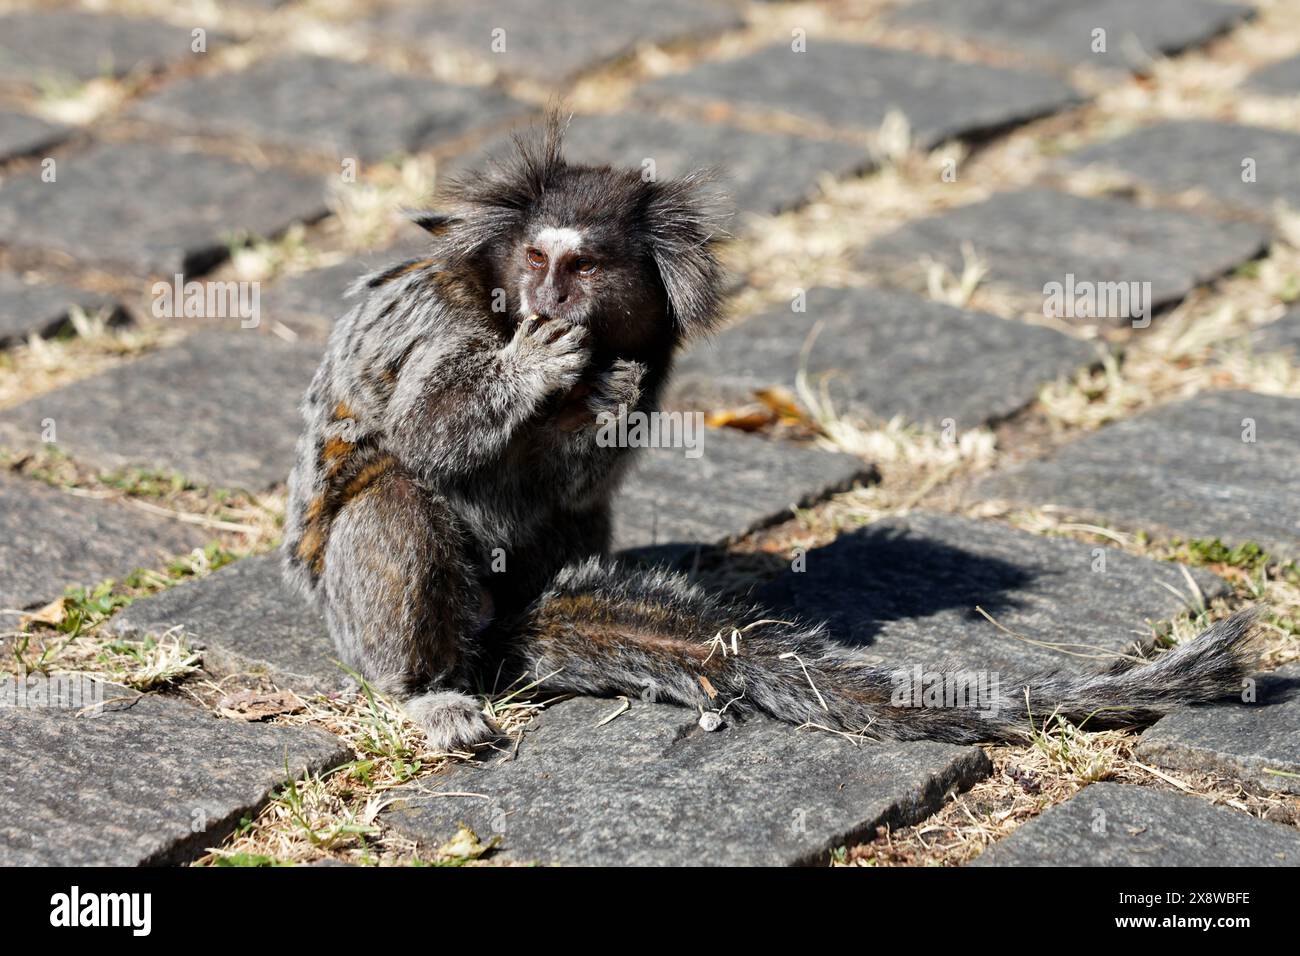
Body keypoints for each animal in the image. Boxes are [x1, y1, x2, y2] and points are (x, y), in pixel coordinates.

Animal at [283, 113, 1260, 752]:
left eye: (585, 266)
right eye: (535, 259)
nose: (551, 299)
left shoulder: (651, 363)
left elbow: (588, 460)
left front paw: (600, 397)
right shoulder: (447, 317)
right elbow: (425, 434)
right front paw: (529, 370)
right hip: (354, 615)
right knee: (396, 500)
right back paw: (425, 691)